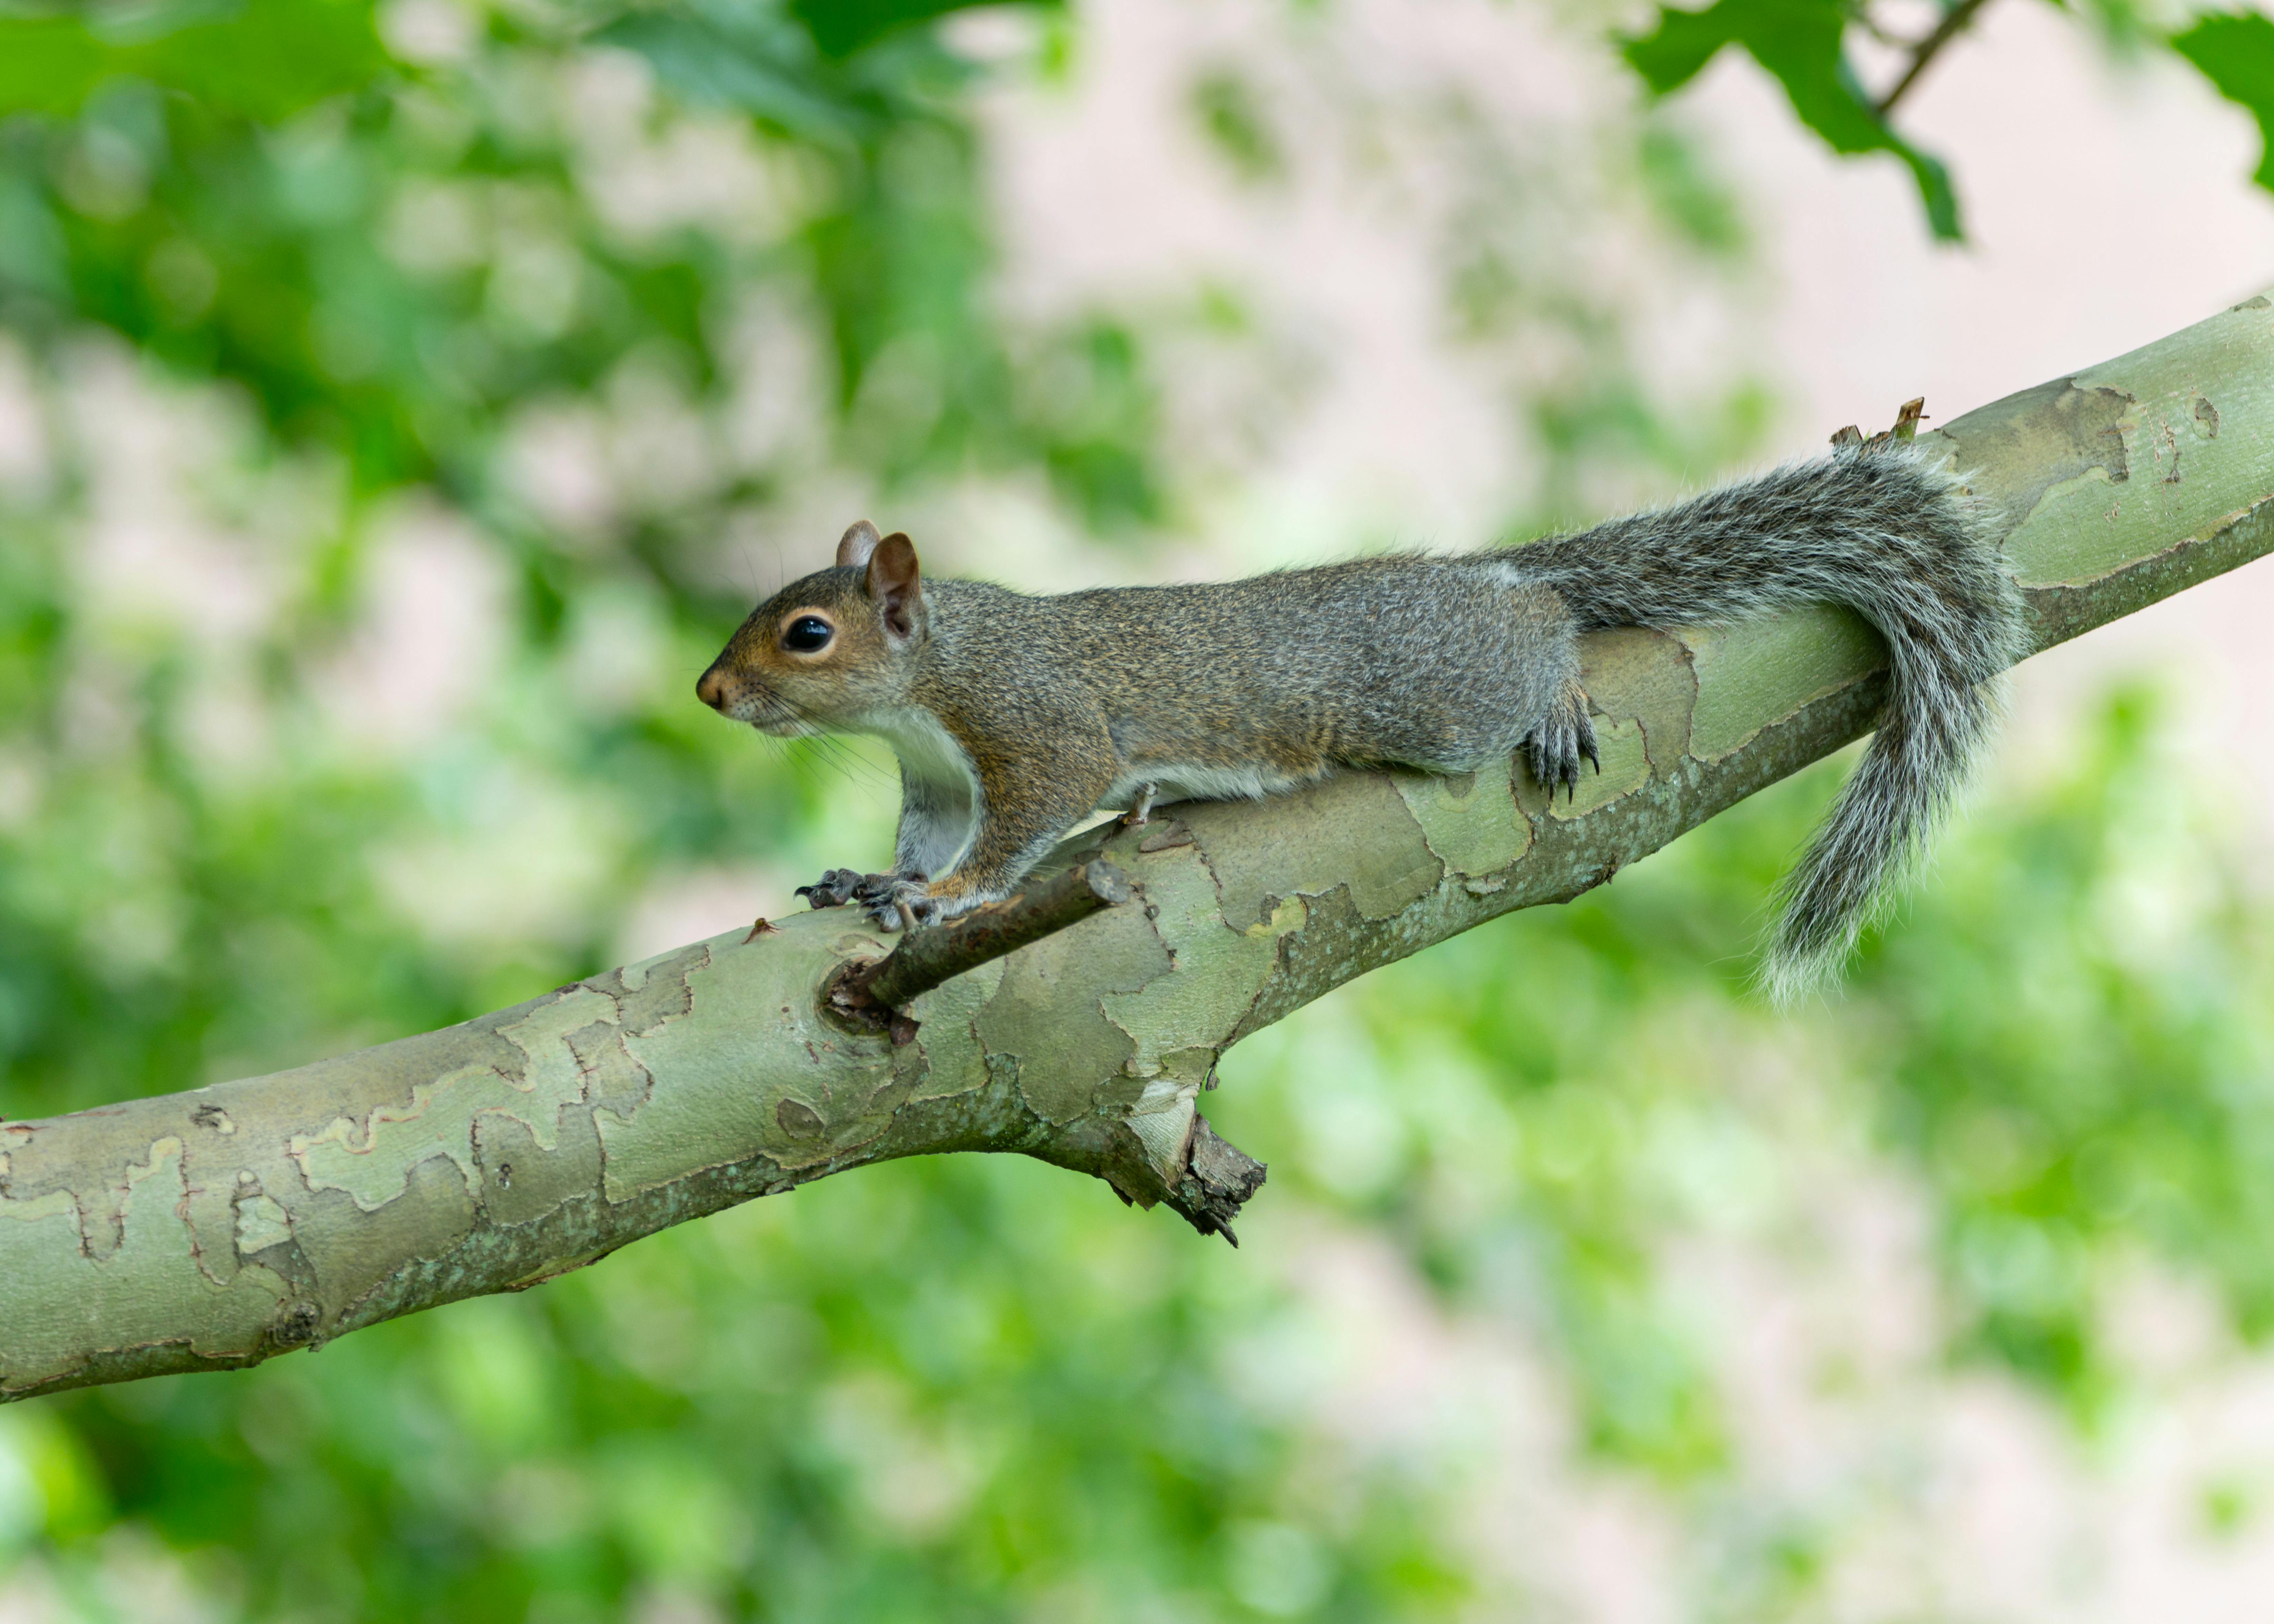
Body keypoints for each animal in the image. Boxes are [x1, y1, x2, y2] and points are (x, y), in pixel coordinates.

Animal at [696, 436, 2025, 994]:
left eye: (807, 634)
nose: (710, 691)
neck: (935, 680)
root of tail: (1479, 575)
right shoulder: (937, 776)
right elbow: (921, 836)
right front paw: (873, 881)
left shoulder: (1038, 736)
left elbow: (1019, 832)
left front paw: (949, 898)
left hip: (1439, 696)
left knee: (1544, 625)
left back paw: (1557, 685)